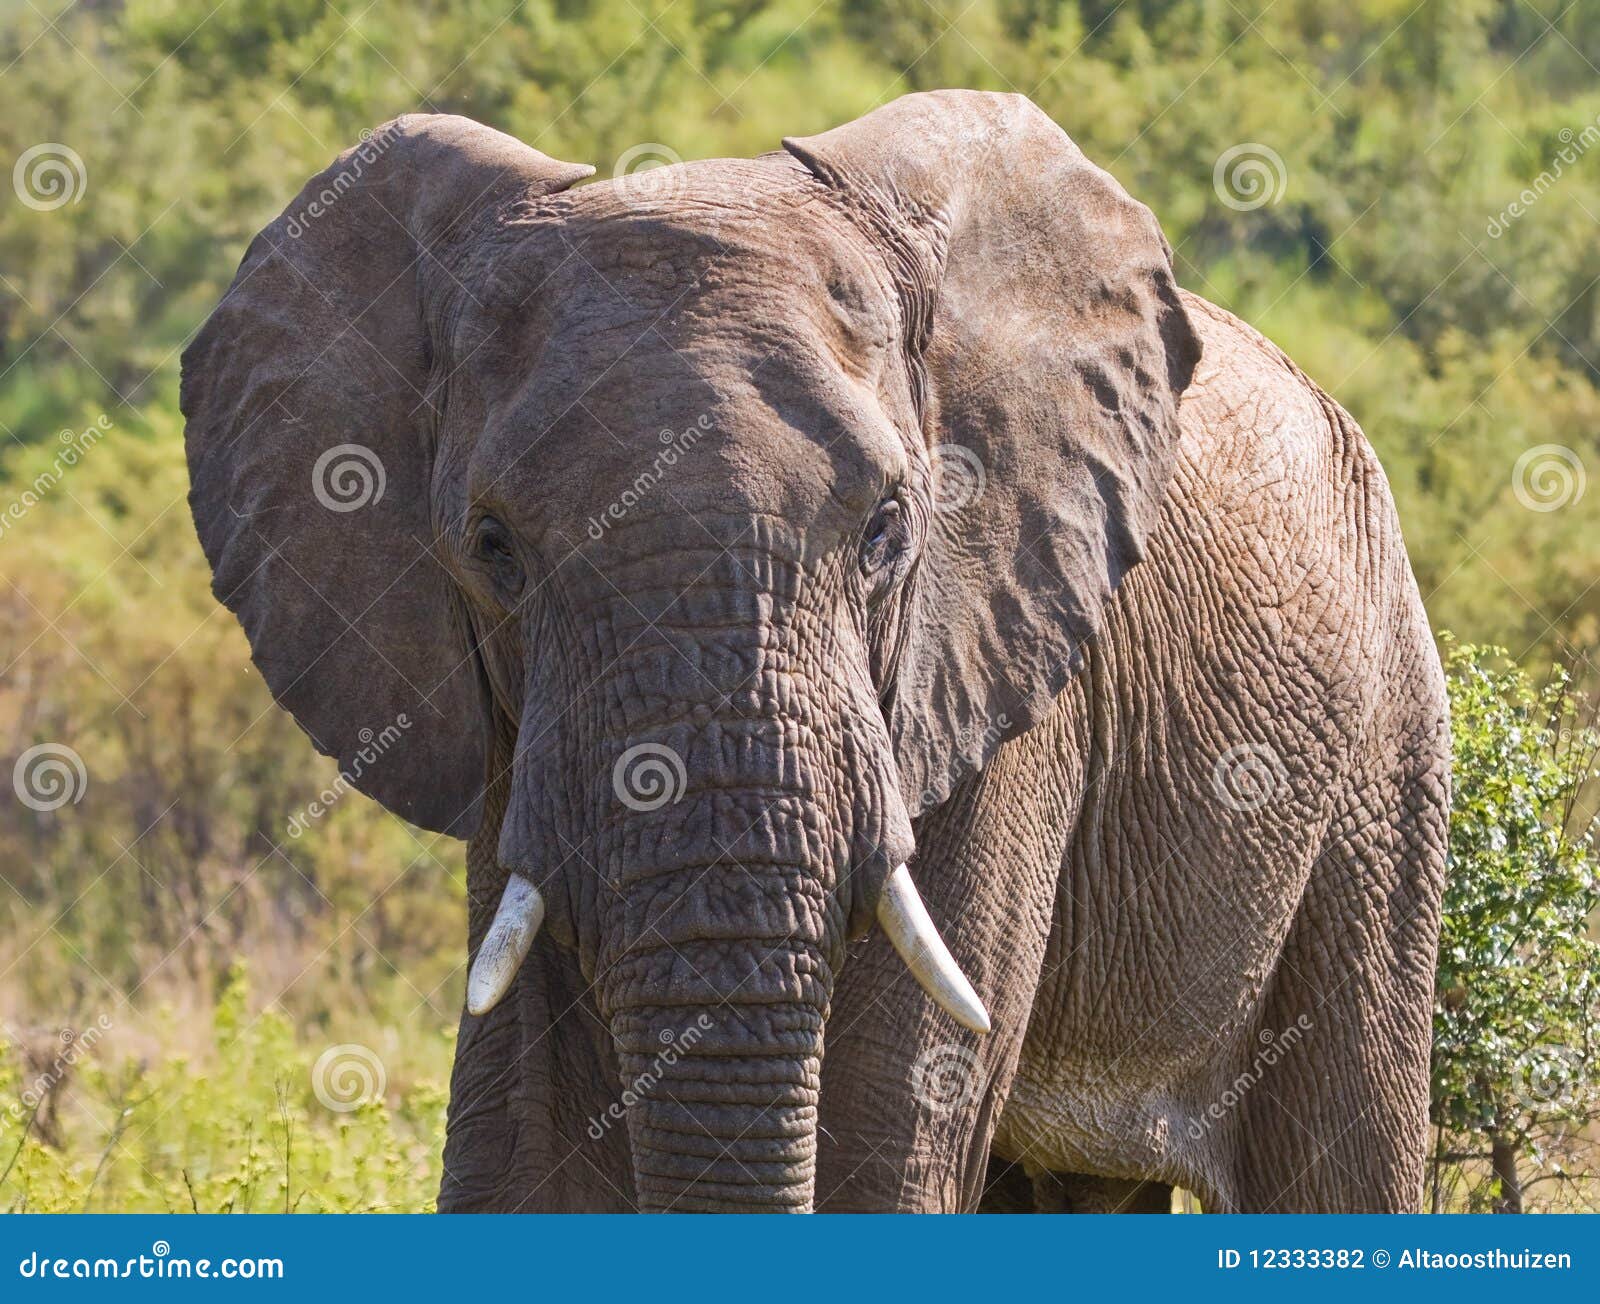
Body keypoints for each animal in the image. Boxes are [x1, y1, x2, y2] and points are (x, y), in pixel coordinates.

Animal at [181, 90, 1450, 1213]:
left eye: (888, 525)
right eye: (491, 545)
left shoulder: (991, 668)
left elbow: (885, 1120)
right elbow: (522, 1135)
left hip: (1382, 756)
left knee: (1340, 1147)